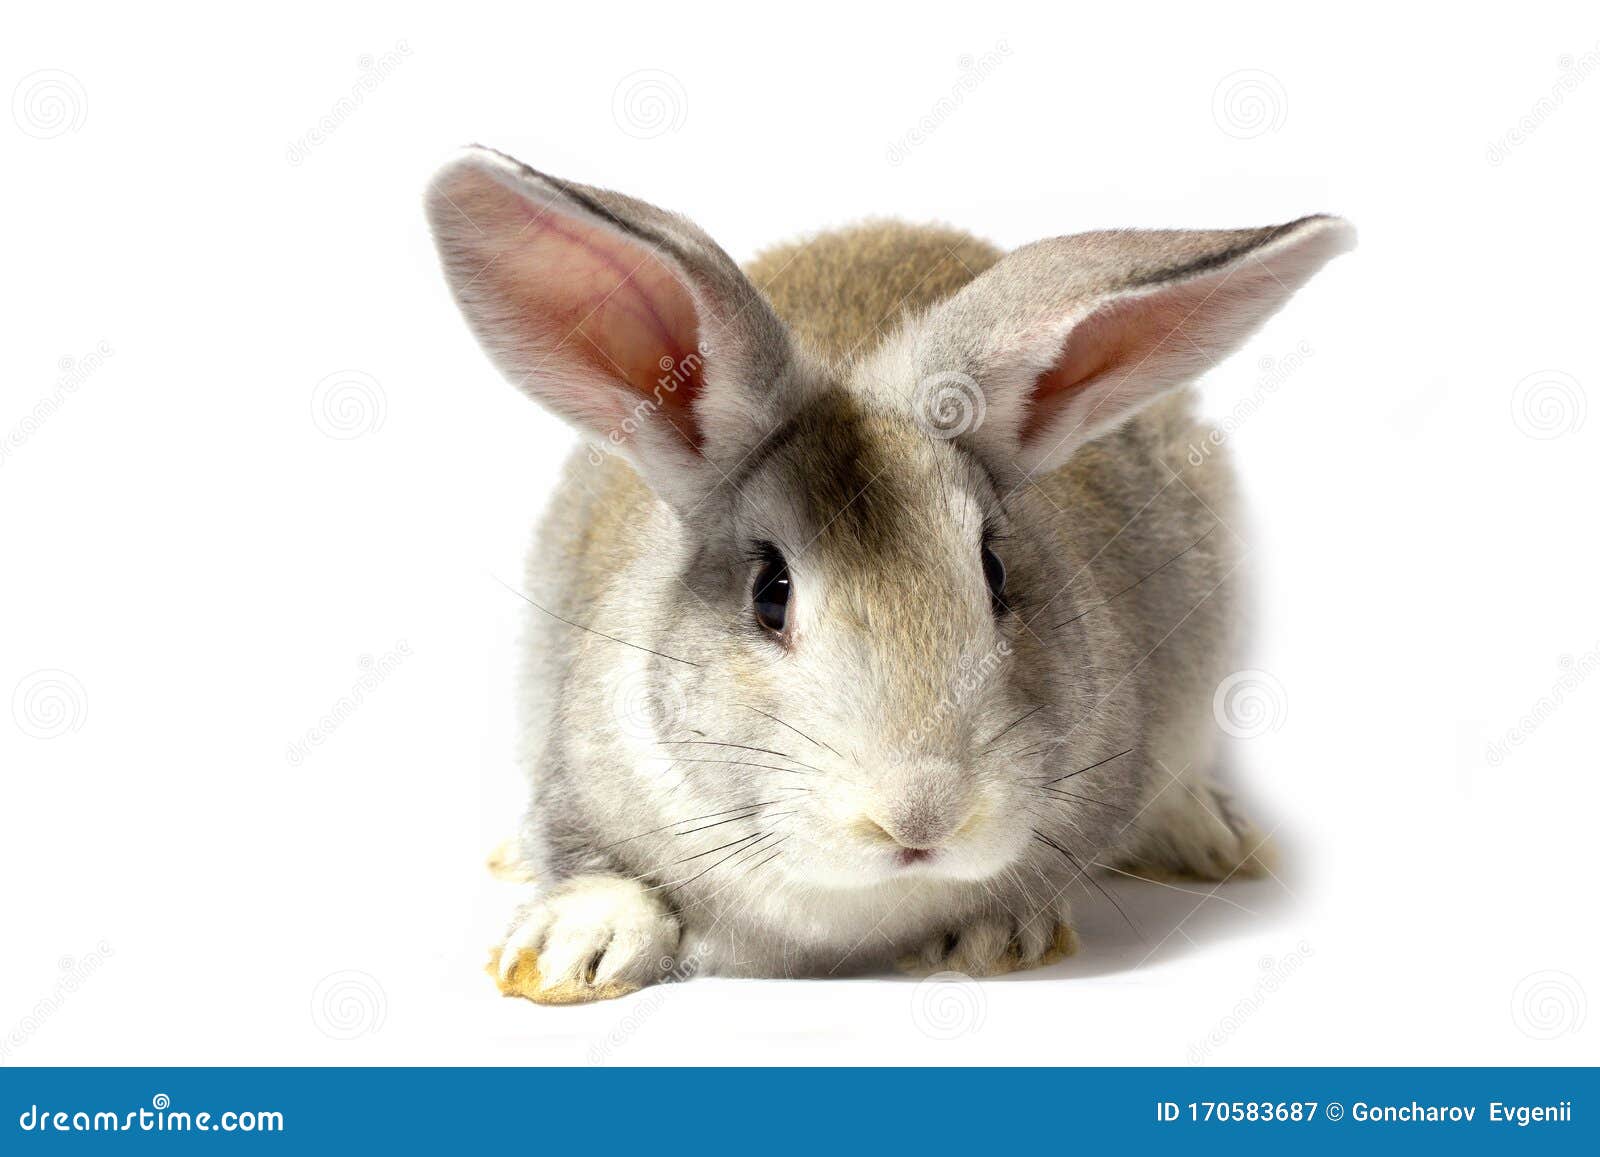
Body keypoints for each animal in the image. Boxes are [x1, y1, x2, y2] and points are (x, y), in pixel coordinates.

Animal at [424, 146, 1354, 1004]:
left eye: (994, 570)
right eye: (771, 592)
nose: (922, 813)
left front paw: (995, 935)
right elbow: (599, 870)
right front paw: (570, 950)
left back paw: (1209, 836)